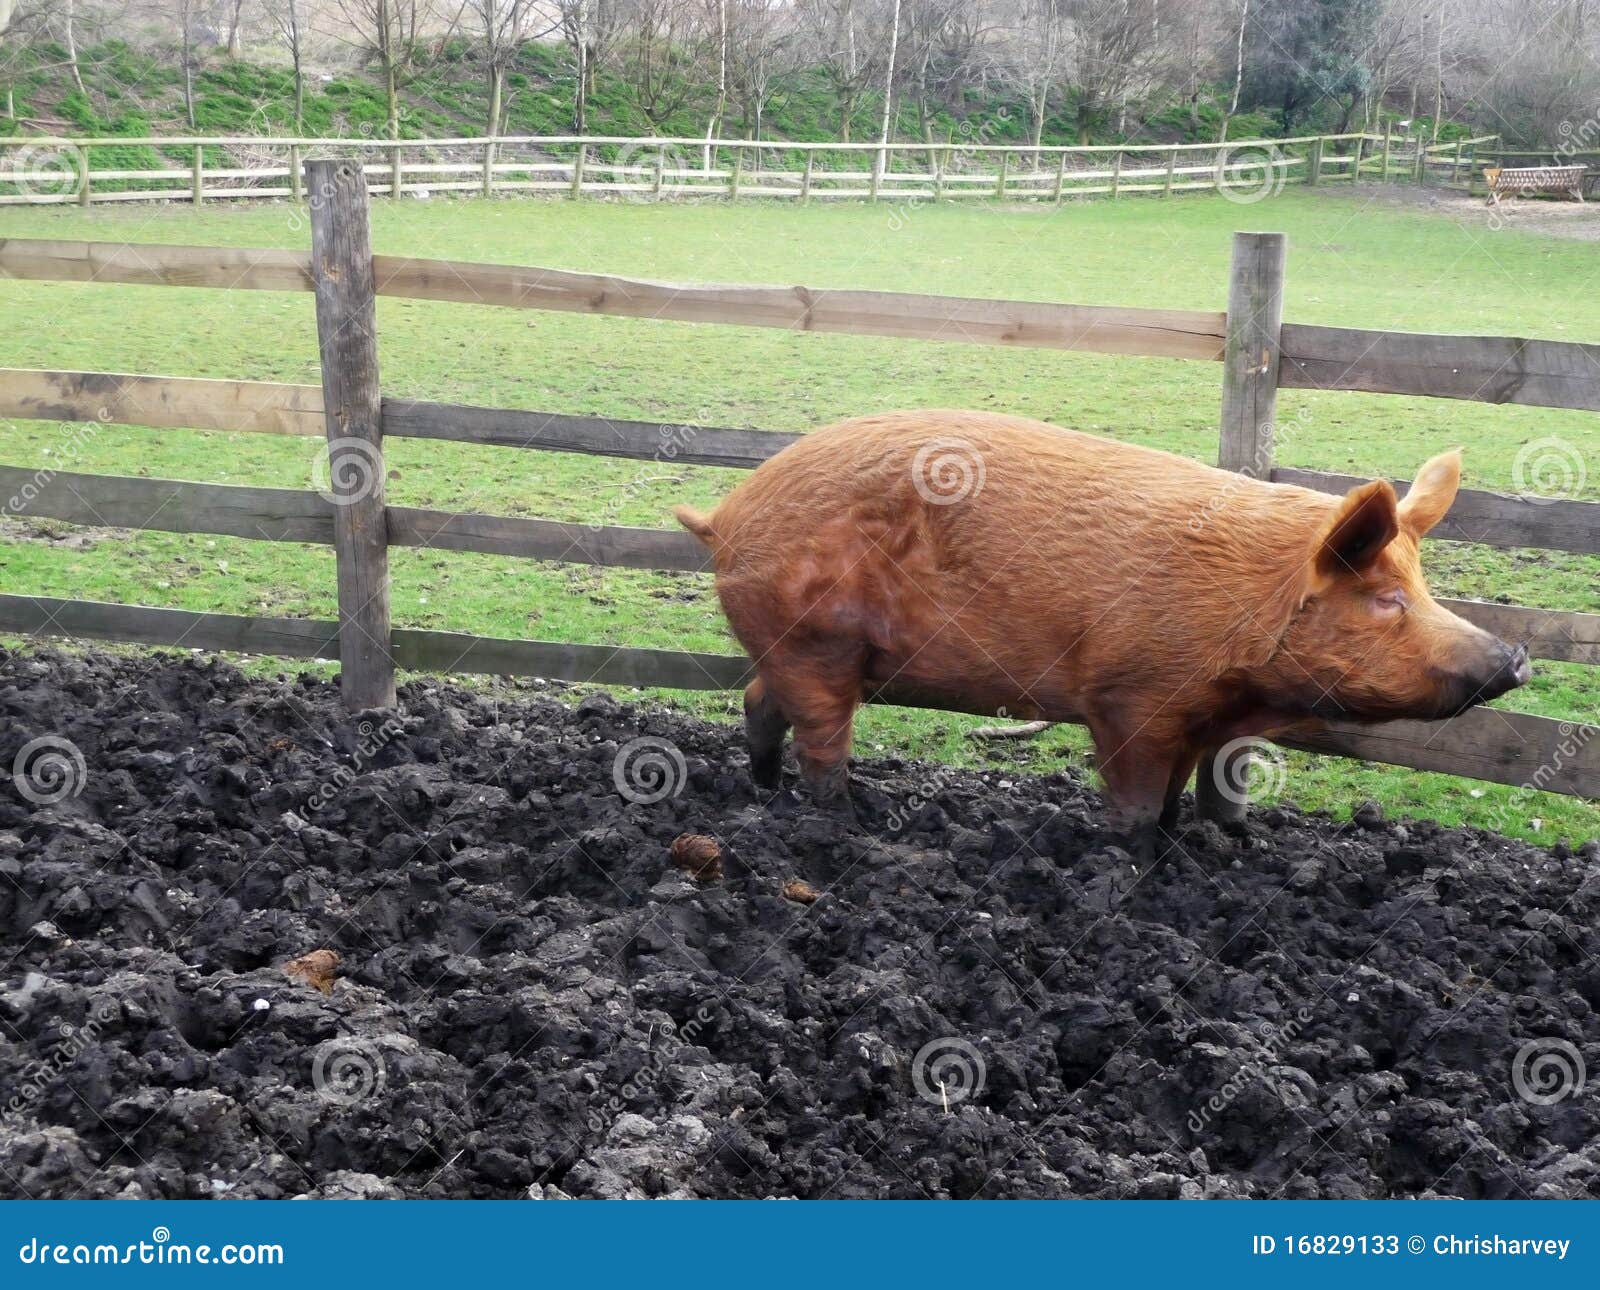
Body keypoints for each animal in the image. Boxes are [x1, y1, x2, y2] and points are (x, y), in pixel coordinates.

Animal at [674, 410, 1530, 846]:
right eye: (1385, 598)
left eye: (1422, 586)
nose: (1516, 655)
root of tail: (726, 513)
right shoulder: (1130, 697)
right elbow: (1135, 801)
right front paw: (1132, 860)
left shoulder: (1200, 718)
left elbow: (1189, 793)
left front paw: (1199, 847)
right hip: (817, 643)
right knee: (820, 740)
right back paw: (845, 820)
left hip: (797, 649)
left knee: (759, 702)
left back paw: (763, 790)